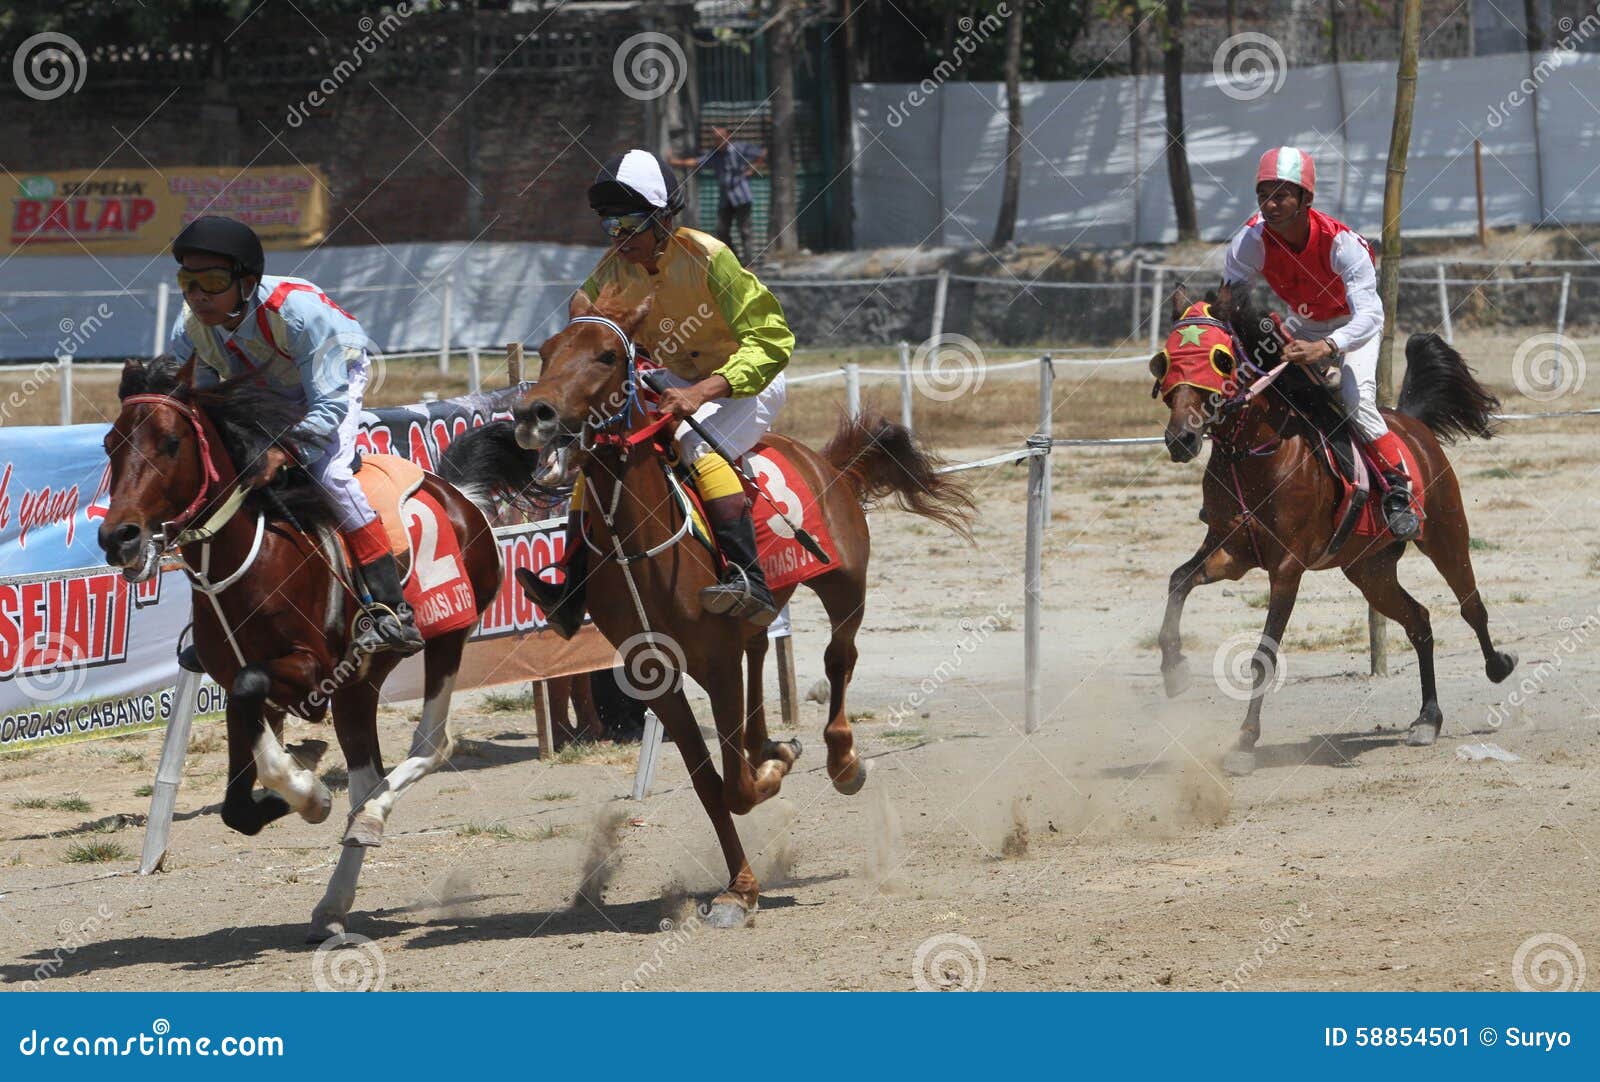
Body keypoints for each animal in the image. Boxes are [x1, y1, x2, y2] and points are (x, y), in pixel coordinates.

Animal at [98, 355, 502, 940]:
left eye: (171, 443)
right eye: (111, 443)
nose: (119, 536)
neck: (253, 559)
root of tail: (459, 493)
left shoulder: (312, 672)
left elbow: (260, 708)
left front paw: (307, 790)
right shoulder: (252, 683)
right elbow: (238, 801)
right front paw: (297, 783)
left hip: (447, 636)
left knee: (431, 744)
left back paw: (370, 820)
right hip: (361, 685)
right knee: (367, 779)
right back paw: (334, 900)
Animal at [441, 287, 975, 926]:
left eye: (605, 356)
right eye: (546, 352)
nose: (532, 414)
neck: (642, 542)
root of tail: (824, 459)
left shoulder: (713, 662)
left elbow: (738, 787)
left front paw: (768, 790)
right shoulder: (656, 675)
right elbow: (709, 784)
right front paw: (740, 882)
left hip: (847, 585)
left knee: (838, 657)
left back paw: (841, 759)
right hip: (758, 617)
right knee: (761, 651)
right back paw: (769, 741)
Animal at [1150, 291, 1517, 776]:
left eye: (1220, 360)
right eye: (1165, 362)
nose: (1181, 439)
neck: (1256, 454)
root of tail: (1411, 424)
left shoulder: (1286, 567)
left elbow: (1264, 656)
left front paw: (1244, 743)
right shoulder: (1230, 552)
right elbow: (1178, 581)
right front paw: (1174, 670)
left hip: (1445, 535)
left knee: (1471, 606)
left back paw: (1498, 666)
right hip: (1369, 570)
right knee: (1419, 620)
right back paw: (1427, 719)